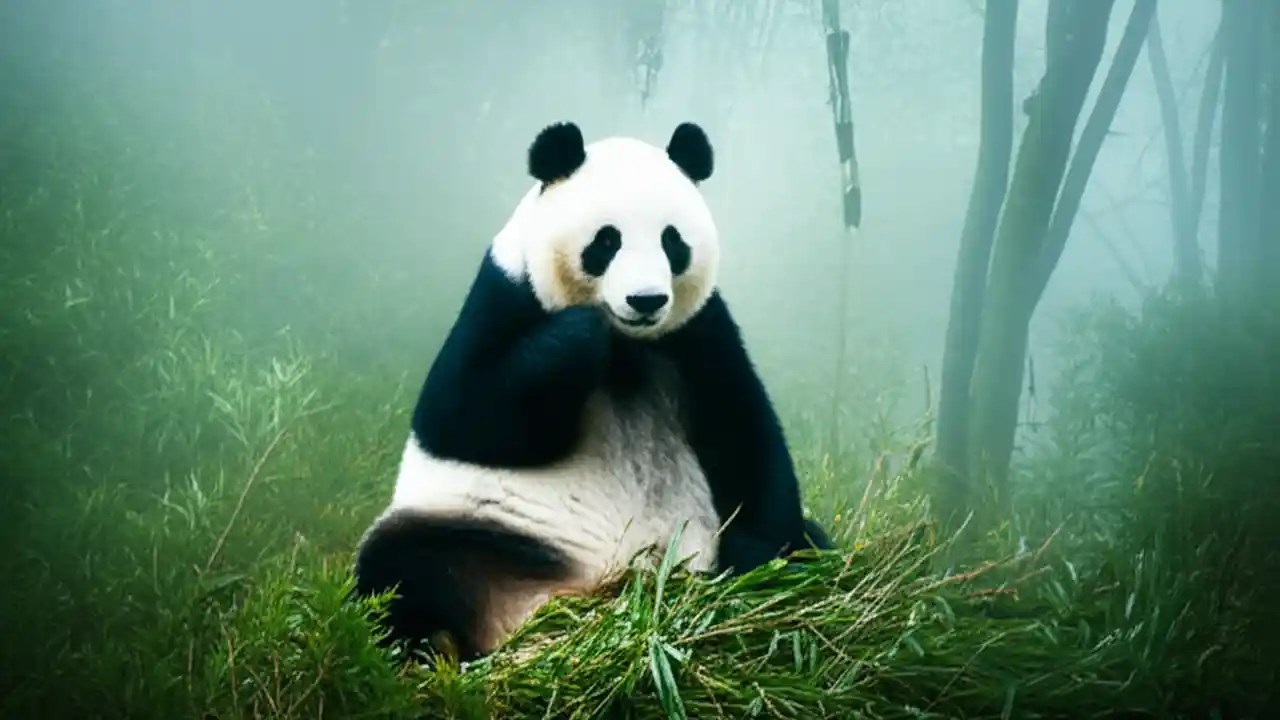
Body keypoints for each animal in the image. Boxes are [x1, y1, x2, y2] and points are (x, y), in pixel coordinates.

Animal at [352, 120, 833, 662]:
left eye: (672, 241)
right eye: (606, 241)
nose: (646, 300)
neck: (629, 344)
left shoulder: (698, 333)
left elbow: (744, 434)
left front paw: (758, 559)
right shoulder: (503, 295)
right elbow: (462, 415)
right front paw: (581, 334)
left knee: (817, 538)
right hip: (485, 532)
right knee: (400, 568)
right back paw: (429, 647)